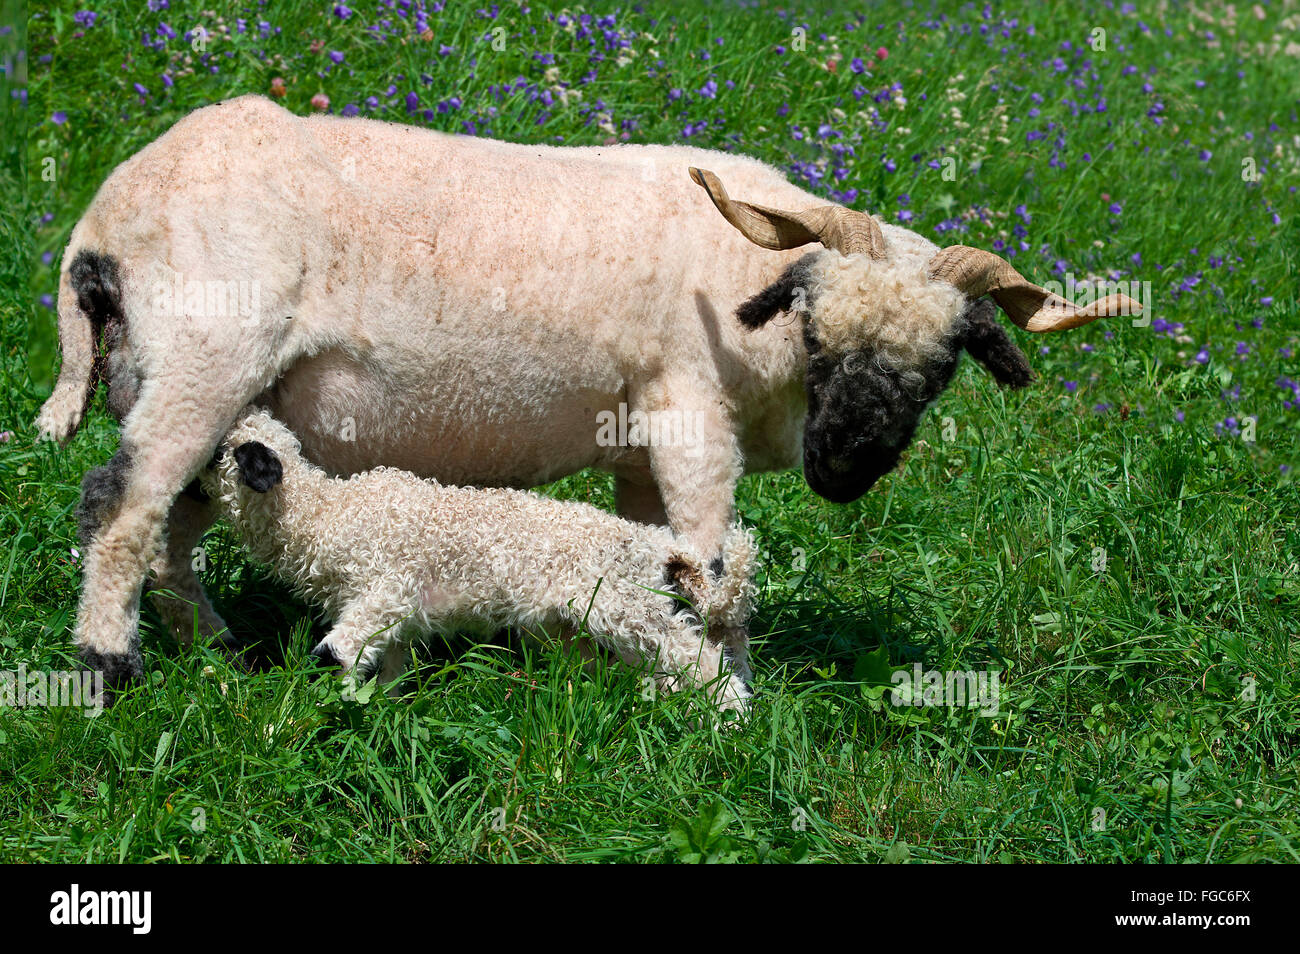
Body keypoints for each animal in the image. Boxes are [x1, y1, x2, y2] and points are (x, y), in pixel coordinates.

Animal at [197, 406, 757, 713]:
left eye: (215, 451)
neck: (320, 512)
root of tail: (656, 544)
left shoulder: (388, 583)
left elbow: (346, 643)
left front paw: (327, 680)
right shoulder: (395, 612)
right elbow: (391, 661)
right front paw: (381, 709)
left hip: (626, 606)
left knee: (701, 657)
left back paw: (729, 716)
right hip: (581, 623)